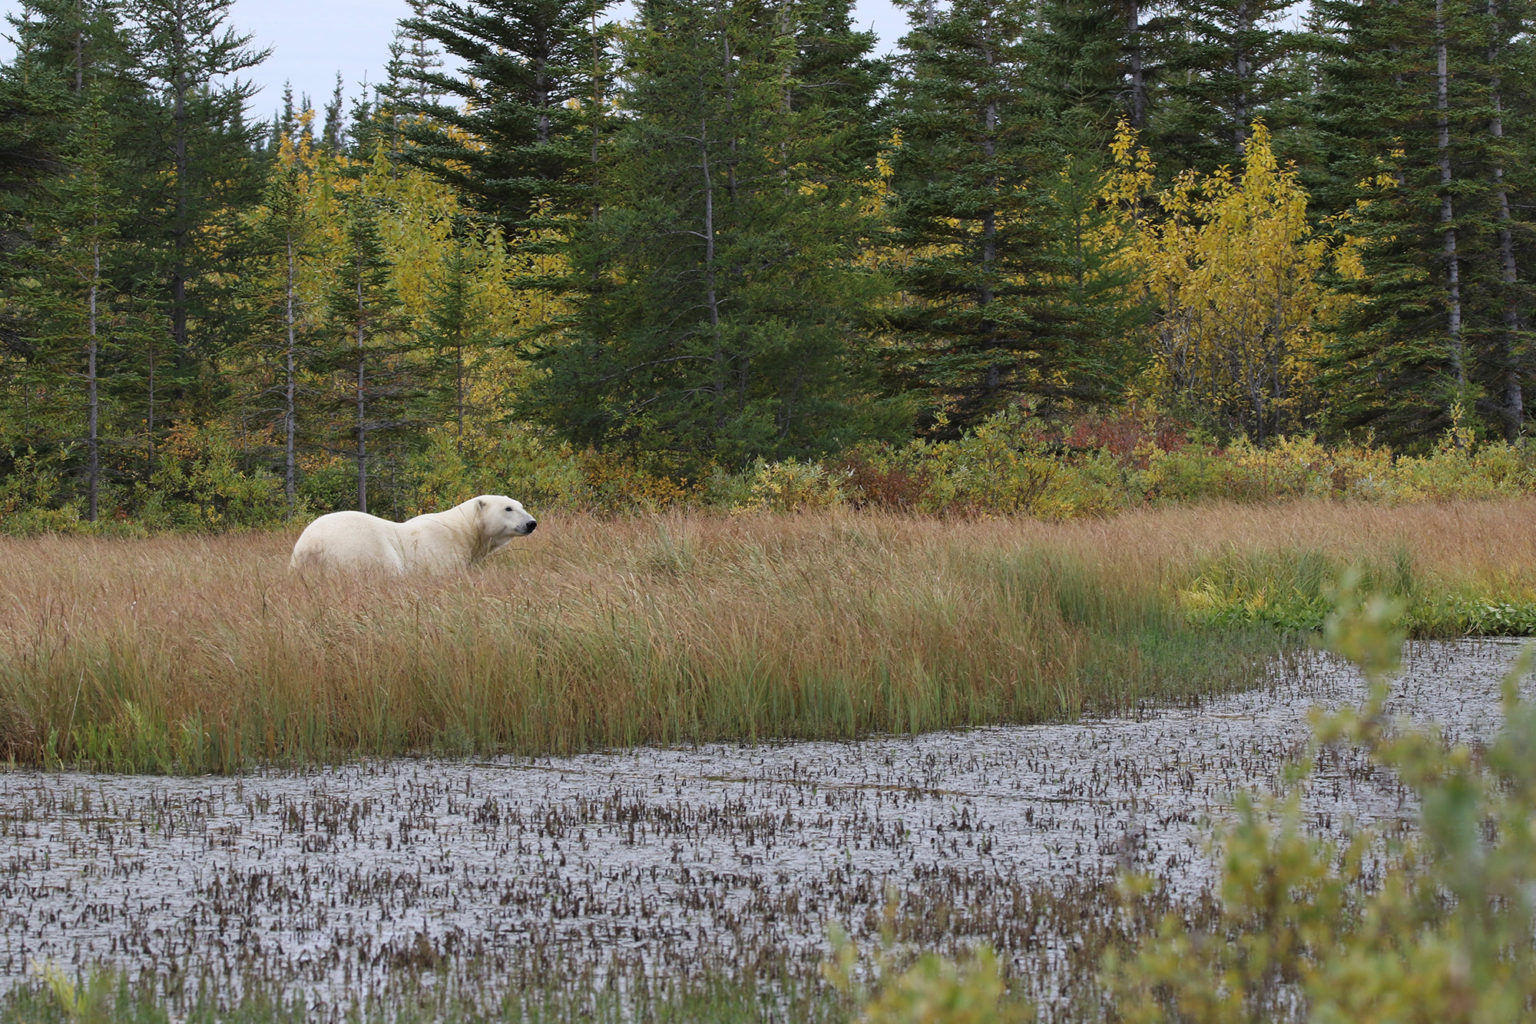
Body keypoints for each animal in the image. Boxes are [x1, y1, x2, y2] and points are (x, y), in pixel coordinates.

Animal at [289, 495, 537, 575]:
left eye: (521, 505)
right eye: (508, 508)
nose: (531, 523)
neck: (463, 530)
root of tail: (310, 545)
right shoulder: (439, 551)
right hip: (359, 549)